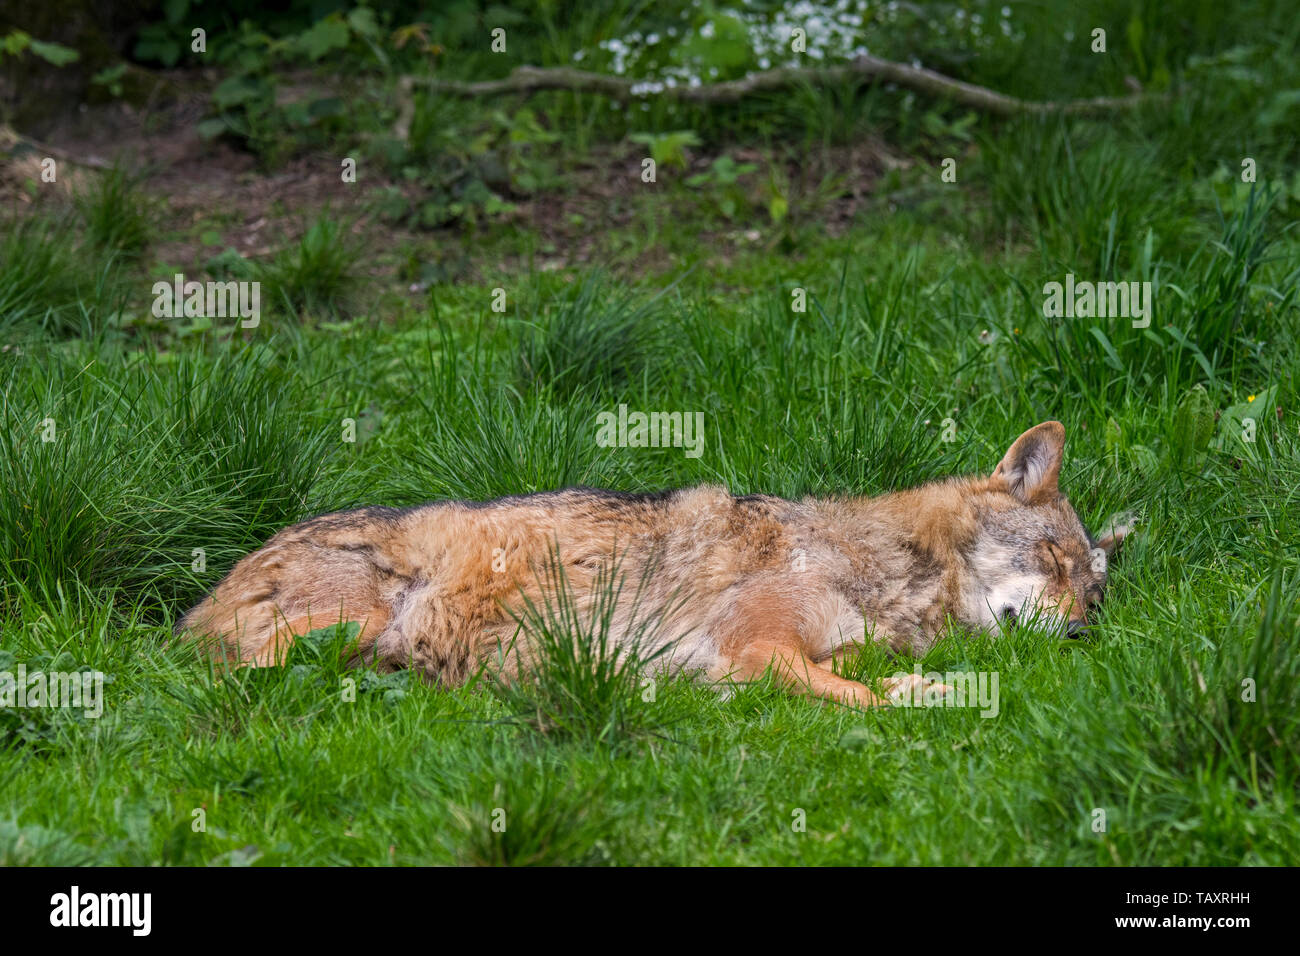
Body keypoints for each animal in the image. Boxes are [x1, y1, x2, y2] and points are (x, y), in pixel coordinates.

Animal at [176, 421, 1129, 708]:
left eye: (1097, 594)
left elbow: (857, 672)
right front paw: (919, 694)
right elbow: (858, 695)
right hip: (353, 621)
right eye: (1051, 557)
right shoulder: (749, 650)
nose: (1086, 633)